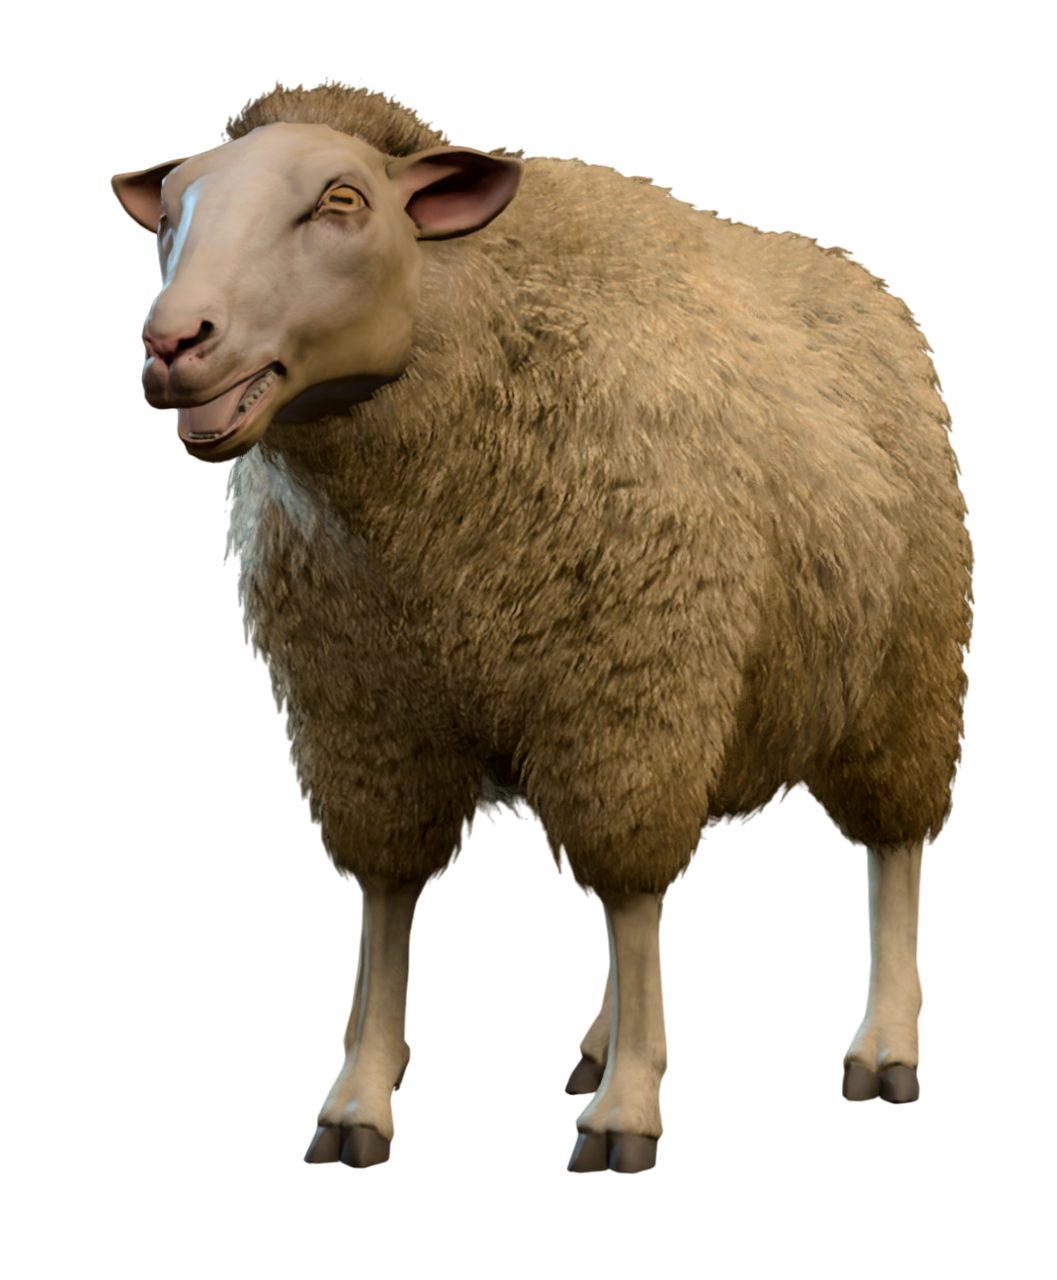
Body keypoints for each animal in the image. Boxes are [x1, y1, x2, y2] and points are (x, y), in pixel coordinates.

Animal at [111, 78, 973, 1174]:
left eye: (342, 201)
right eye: (168, 214)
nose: (173, 342)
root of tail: (858, 280)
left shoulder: (627, 683)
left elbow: (632, 896)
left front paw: (626, 1109)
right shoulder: (366, 719)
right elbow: (390, 896)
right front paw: (358, 1097)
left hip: (895, 668)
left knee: (888, 855)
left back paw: (883, 1045)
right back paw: (602, 1037)